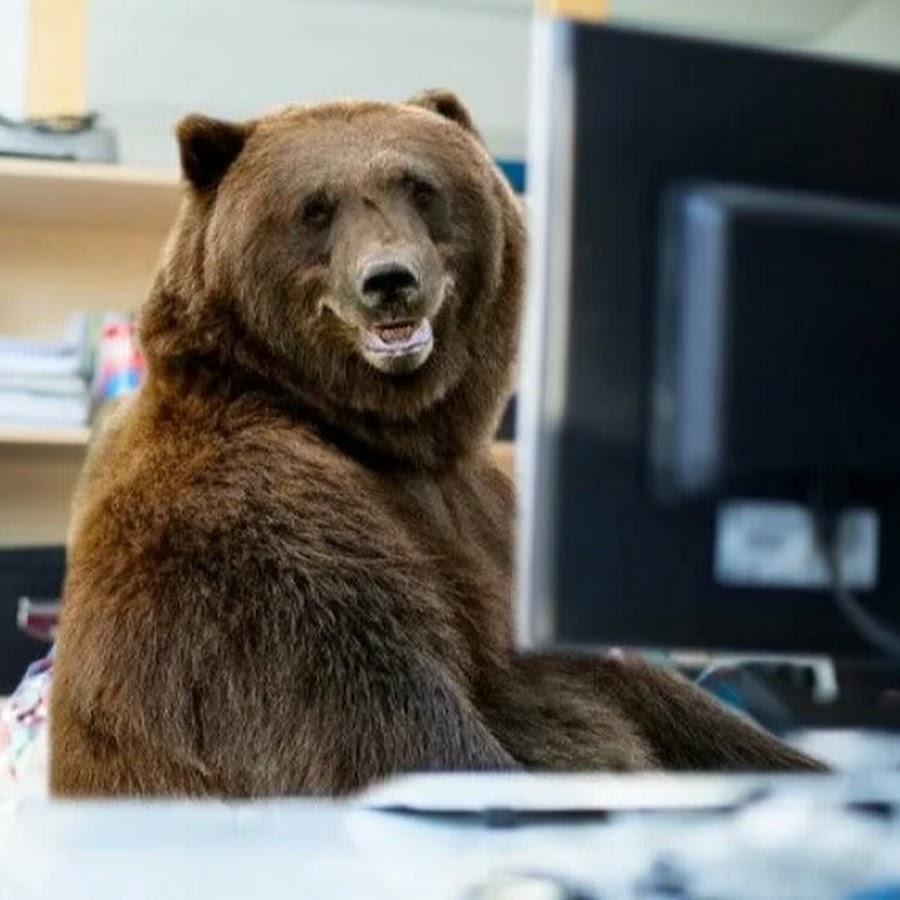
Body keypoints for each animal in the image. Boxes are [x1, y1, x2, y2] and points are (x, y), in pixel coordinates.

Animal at [50, 90, 822, 797]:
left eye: (419, 186)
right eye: (314, 207)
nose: (390, 280)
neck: (384, 433)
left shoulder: (490, 520)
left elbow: (651, 693)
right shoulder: (258, 538)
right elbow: (390, 725)